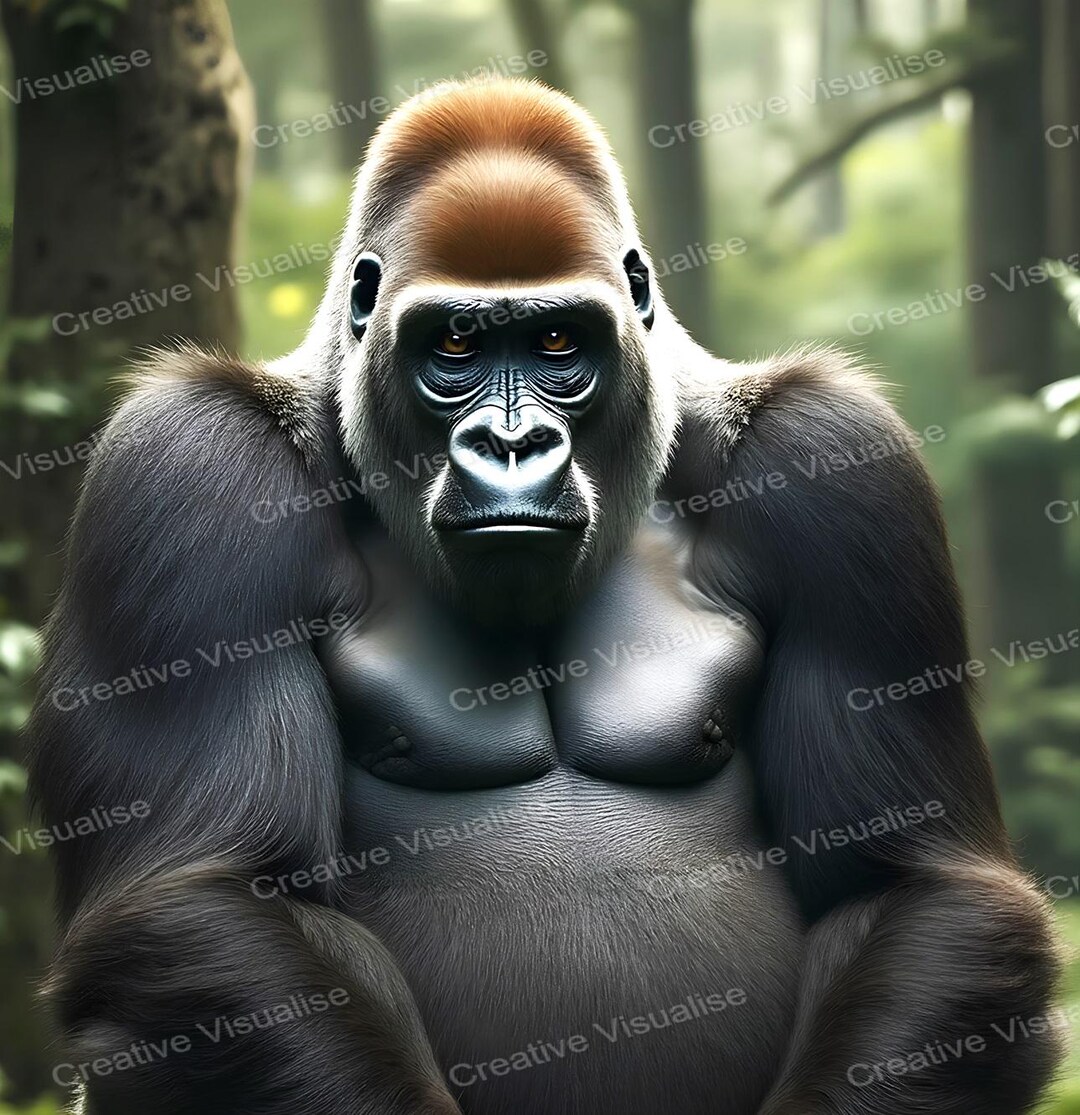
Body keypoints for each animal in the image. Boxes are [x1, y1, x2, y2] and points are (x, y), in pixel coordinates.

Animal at [28, 77, 1061, 1115]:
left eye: (558, 338)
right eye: (455, 342)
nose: (514, 444)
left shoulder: (835, 462)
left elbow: (906, 882)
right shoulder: (189, 464)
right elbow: (208, 890)